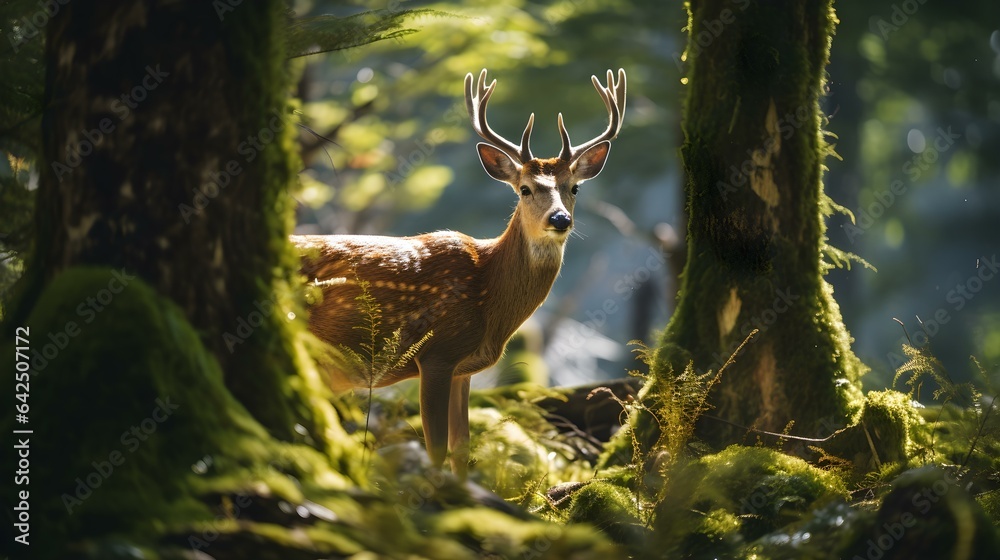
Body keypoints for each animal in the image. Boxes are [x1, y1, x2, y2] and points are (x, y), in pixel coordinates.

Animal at [292, 68, 626, 479]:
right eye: (525, 189)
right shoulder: (436, 353)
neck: (488, 295)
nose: (560, 219)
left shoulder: (463, 369)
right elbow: (435, 448)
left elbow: (461, 448)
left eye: (574, 187)